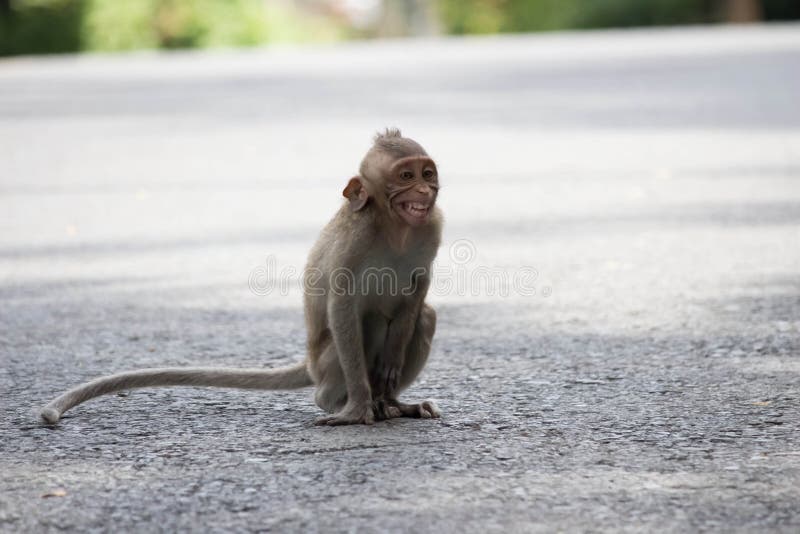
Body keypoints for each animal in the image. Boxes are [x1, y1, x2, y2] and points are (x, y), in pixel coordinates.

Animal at [40, 128, 442, 426]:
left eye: (427, 173)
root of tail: (310, 363)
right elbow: (341, 306)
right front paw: (357, 408)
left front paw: (393, 356)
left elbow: (419, 285)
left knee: (424, 316)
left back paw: (392, 403)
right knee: (364, 326)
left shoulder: (433, 225)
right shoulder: (356, 237)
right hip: (329, 365)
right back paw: (350, 402)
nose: (424, 191)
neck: (395, 227)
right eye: (405, 176)